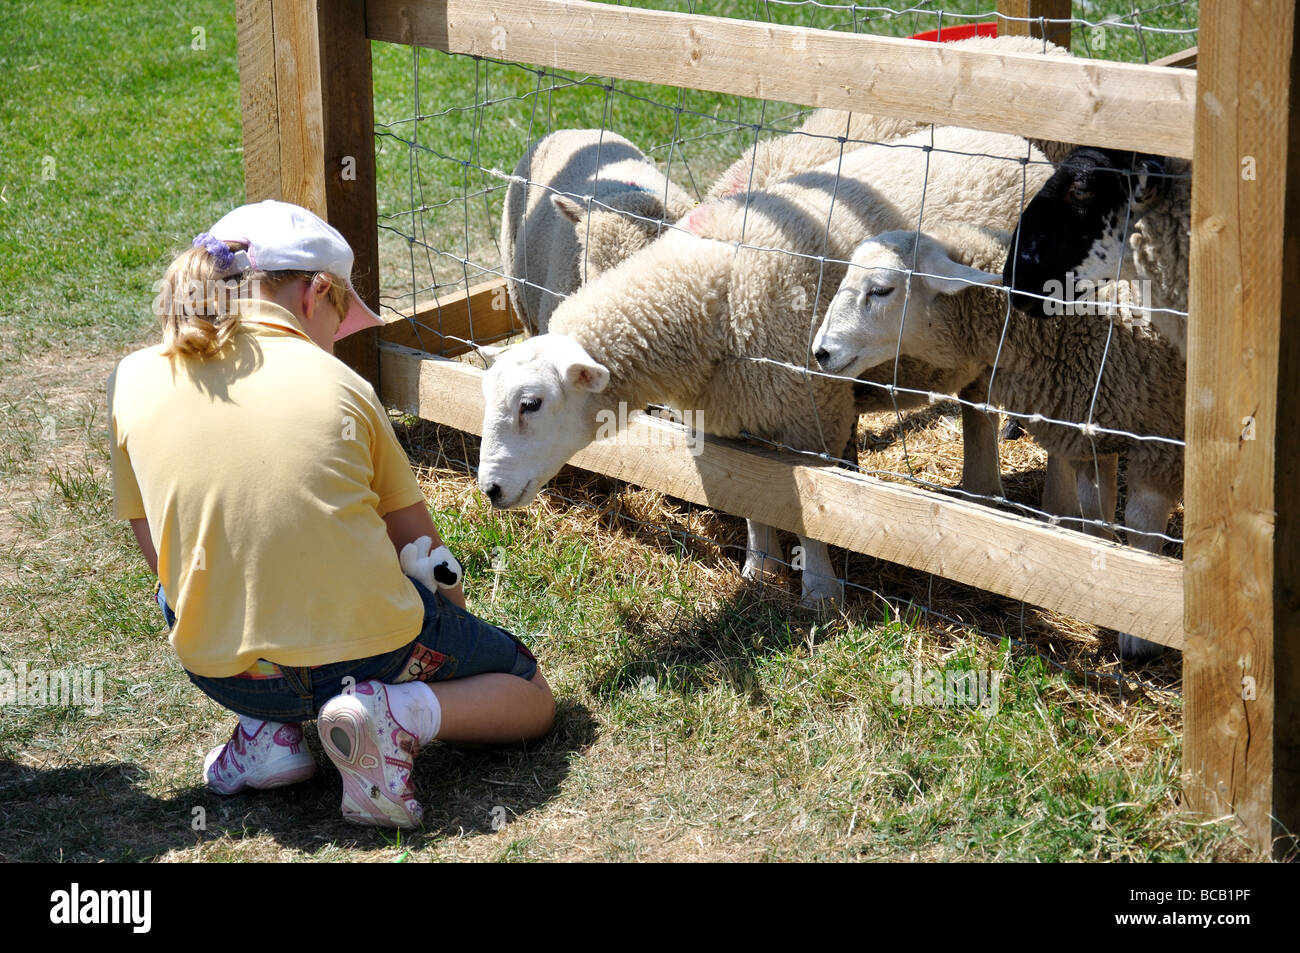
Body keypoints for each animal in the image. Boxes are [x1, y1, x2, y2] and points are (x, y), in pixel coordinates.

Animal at [812, 222, 1184, 658]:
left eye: (882, 289)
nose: (820, 352)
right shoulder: (1090, 429)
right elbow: (1095, 517)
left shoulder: (1163, 440)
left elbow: (1142, 525)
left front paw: (1139, 638)